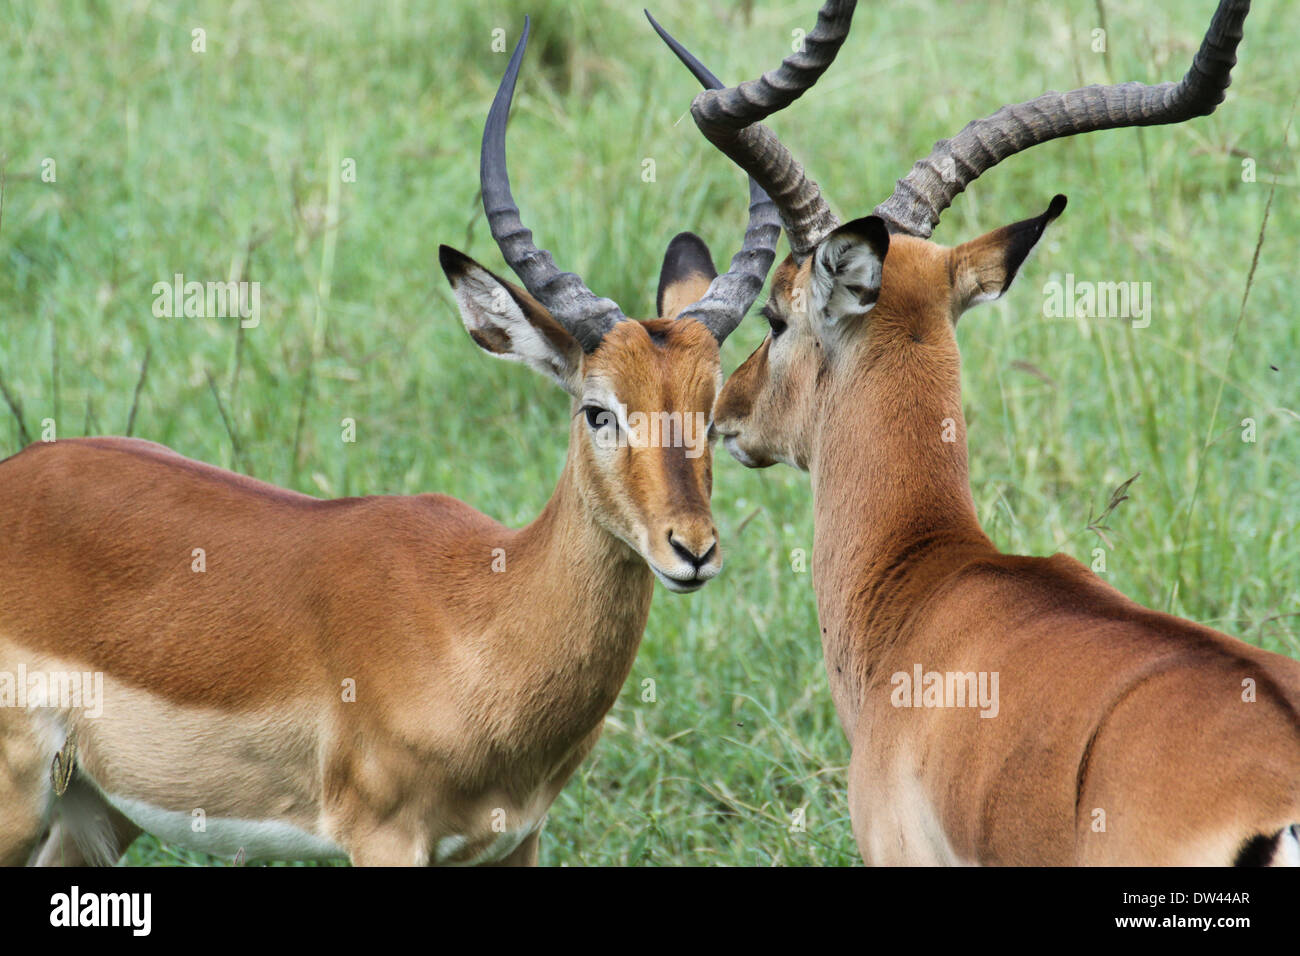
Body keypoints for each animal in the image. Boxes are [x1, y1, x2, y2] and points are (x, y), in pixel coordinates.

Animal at [0, 17, 781, 867]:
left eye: (709, 411)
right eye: (598, 410)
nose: (693, 549)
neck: (480, 621)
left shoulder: (520, 838)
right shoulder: (385, 838)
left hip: (97, 813)